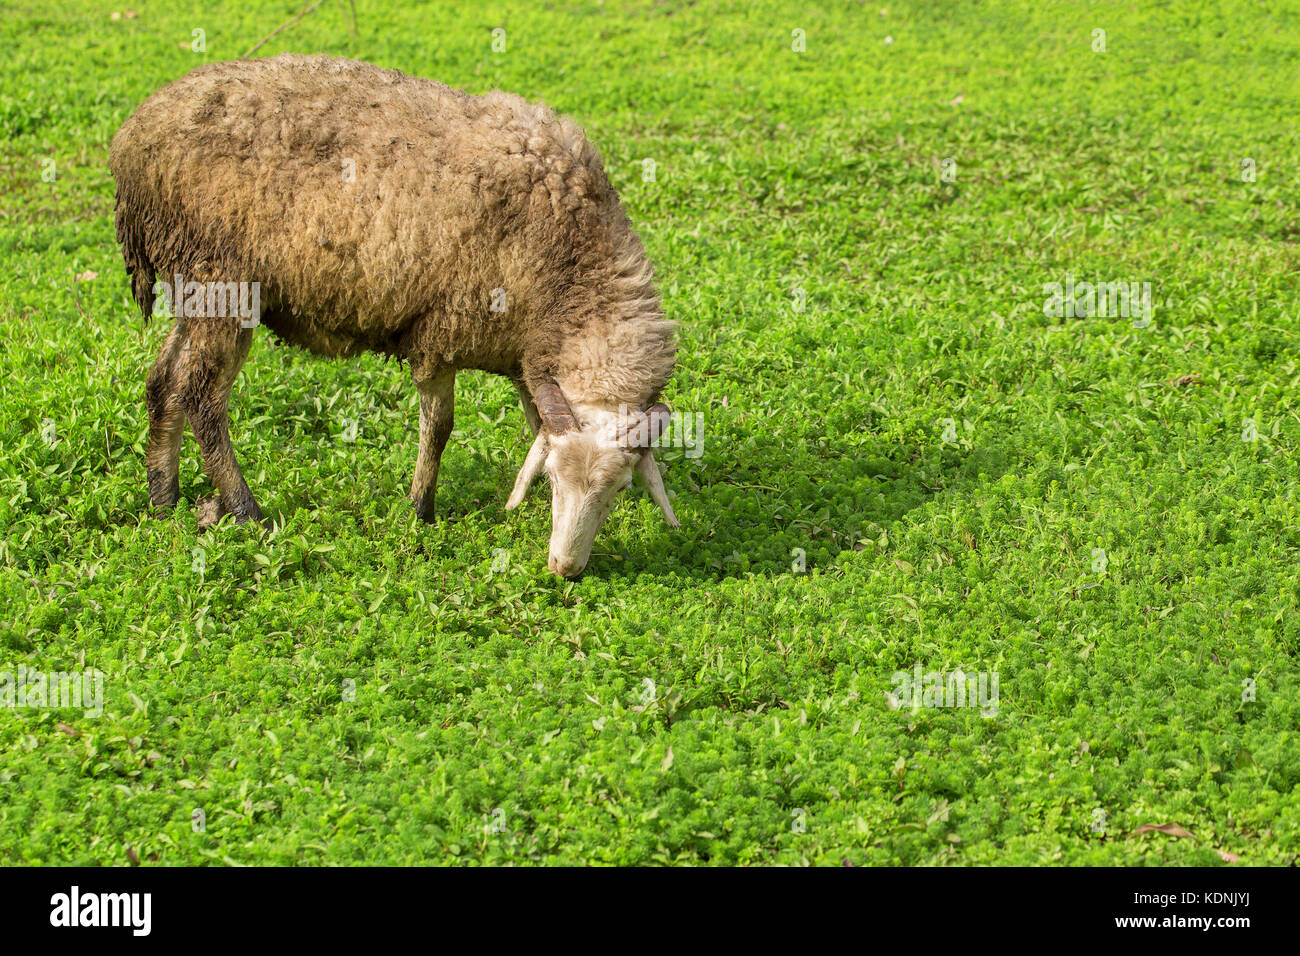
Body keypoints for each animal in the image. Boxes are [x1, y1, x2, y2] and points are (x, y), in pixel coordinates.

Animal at [110, 54, 679, 577]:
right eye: (560, 478)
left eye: (619, 489)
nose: (565, 568)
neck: (568, 269)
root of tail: (132, 140)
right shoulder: (440, 331)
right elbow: (440, 427)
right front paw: (420, 509)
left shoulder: (527, 358)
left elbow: (533, 420)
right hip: (222, 280)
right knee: (203, 397)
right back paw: (245, 509)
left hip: (193, 284)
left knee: (164, 383)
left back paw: (164, 499)